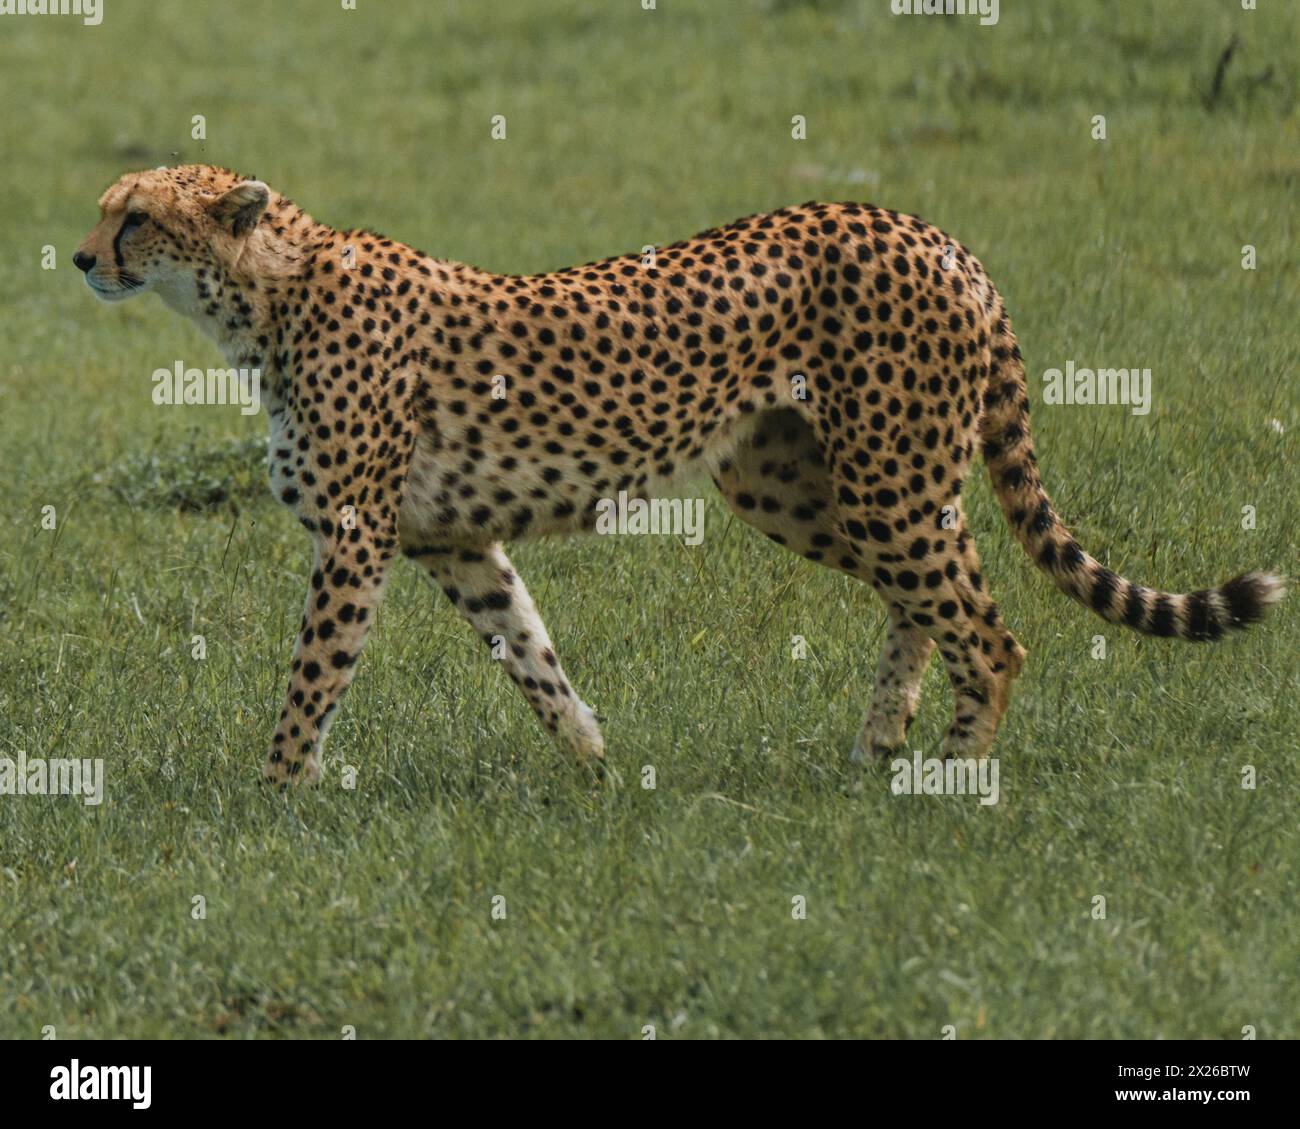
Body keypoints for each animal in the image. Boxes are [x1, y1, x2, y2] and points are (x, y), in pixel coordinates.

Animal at [75, 165, 1285, 787]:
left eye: (137, 215)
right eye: (105, 208)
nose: (83, 257)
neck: (265, 294)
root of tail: (932, 231)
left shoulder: (357, 531)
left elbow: (313, 675)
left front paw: (271, 797)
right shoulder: (451, 539)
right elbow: (529, 651)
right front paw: (595, 764)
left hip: (884, 481)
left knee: (990, 633)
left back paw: (947, 783)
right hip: (802, 489)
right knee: (929, 603)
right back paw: (876, 746)